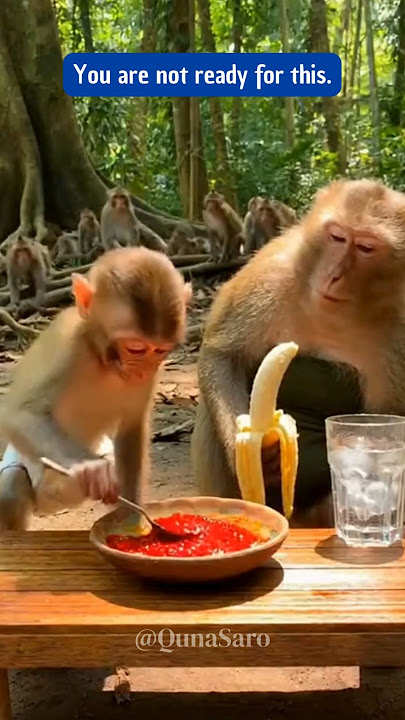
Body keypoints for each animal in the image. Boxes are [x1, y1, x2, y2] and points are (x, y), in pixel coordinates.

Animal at [0, 247, 191, 530]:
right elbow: (19, 413)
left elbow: (132, 428)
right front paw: (88, 467)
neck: (104, 360)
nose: (142, 371)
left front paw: (133, 522)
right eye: (135, 348)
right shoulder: (68, 345)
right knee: (12, 484)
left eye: (160, 351)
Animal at [191, 178, 405, 528]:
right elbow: (222, 354)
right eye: (337, 236)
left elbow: (385, 422)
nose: (334, 275)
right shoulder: (271, 274)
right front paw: (256, 452)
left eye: (366, 247)